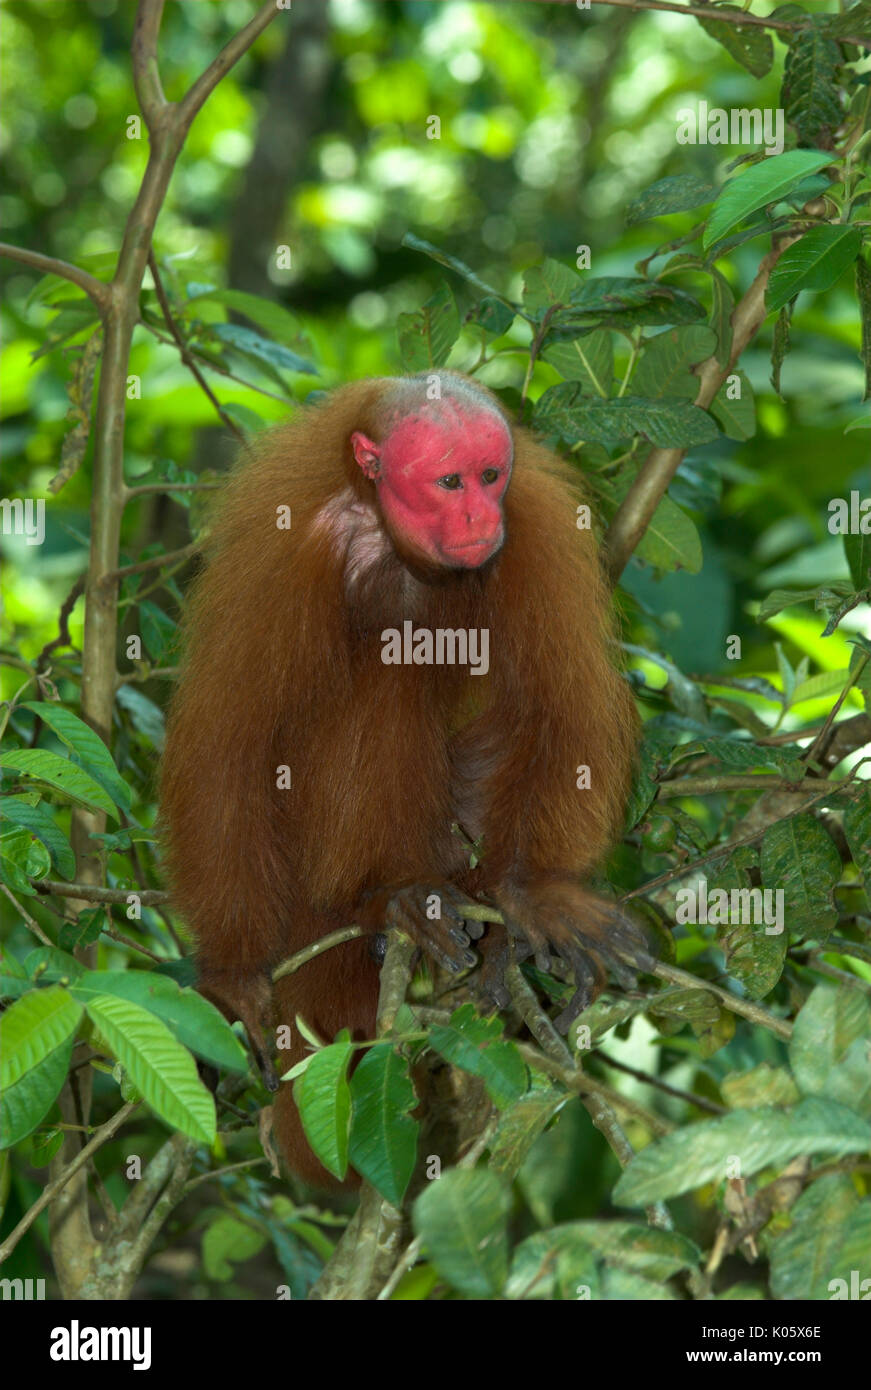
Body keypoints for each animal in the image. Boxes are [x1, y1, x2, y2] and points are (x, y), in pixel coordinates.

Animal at [160, 370, 649, 1184]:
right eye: (449, 483)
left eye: (490, 476)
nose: (479, 514)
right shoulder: (281, 551)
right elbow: (229, 746)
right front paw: (230, 974)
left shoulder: (534, 526)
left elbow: (561, 710)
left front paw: (536, 894)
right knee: (386, 673)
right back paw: (390, 897)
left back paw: (488, 921)